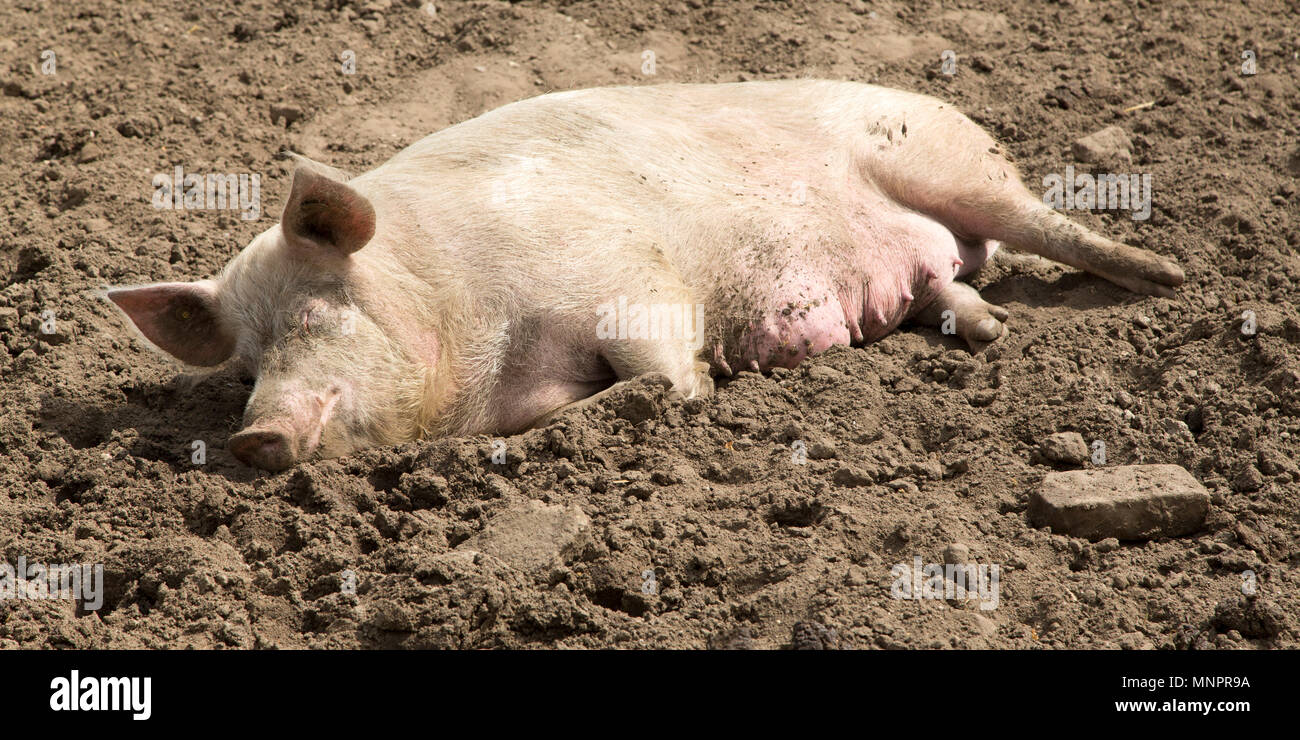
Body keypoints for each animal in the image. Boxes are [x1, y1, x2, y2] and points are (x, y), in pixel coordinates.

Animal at [105, 80, 1184, 471]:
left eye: (318, 314)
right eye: (245, 368)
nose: (254, 438)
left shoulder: (632, 284)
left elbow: (659, 381)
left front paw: (695, 388)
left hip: (957, 166)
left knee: (1042, 225)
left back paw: (1165, 276)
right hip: (936, 252)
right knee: (948, 287)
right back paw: (989, 334)